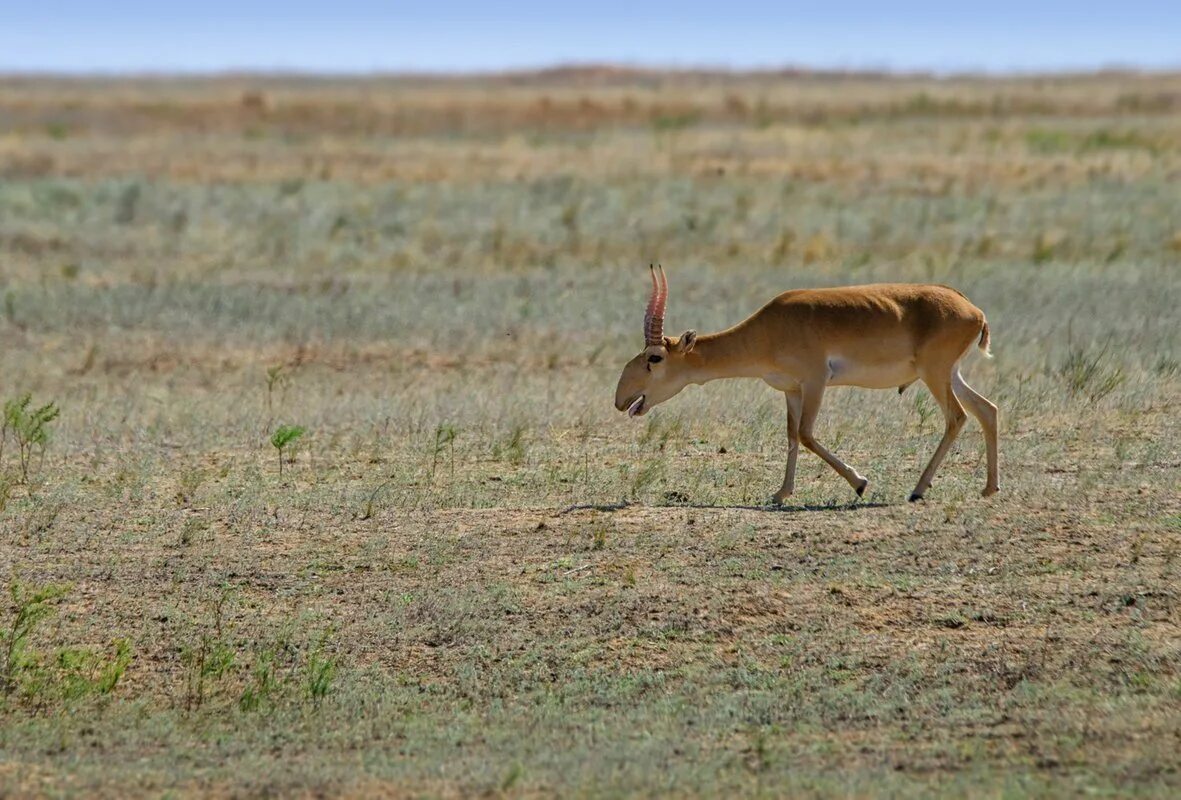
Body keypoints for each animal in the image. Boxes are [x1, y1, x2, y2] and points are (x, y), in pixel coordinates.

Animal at [618, 268, 996, 505]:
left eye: (654, 358)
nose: (621, 400)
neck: (769, 328)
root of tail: (973, 309)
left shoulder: (815, 382)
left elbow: (806, 434)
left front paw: (860, 483)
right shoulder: (792, 390)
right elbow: (791, 435)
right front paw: (781, 493)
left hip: (935, 375)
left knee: (957, 417)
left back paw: (918, 490)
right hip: (950, 375)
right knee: (987, 410)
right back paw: (989, 489)